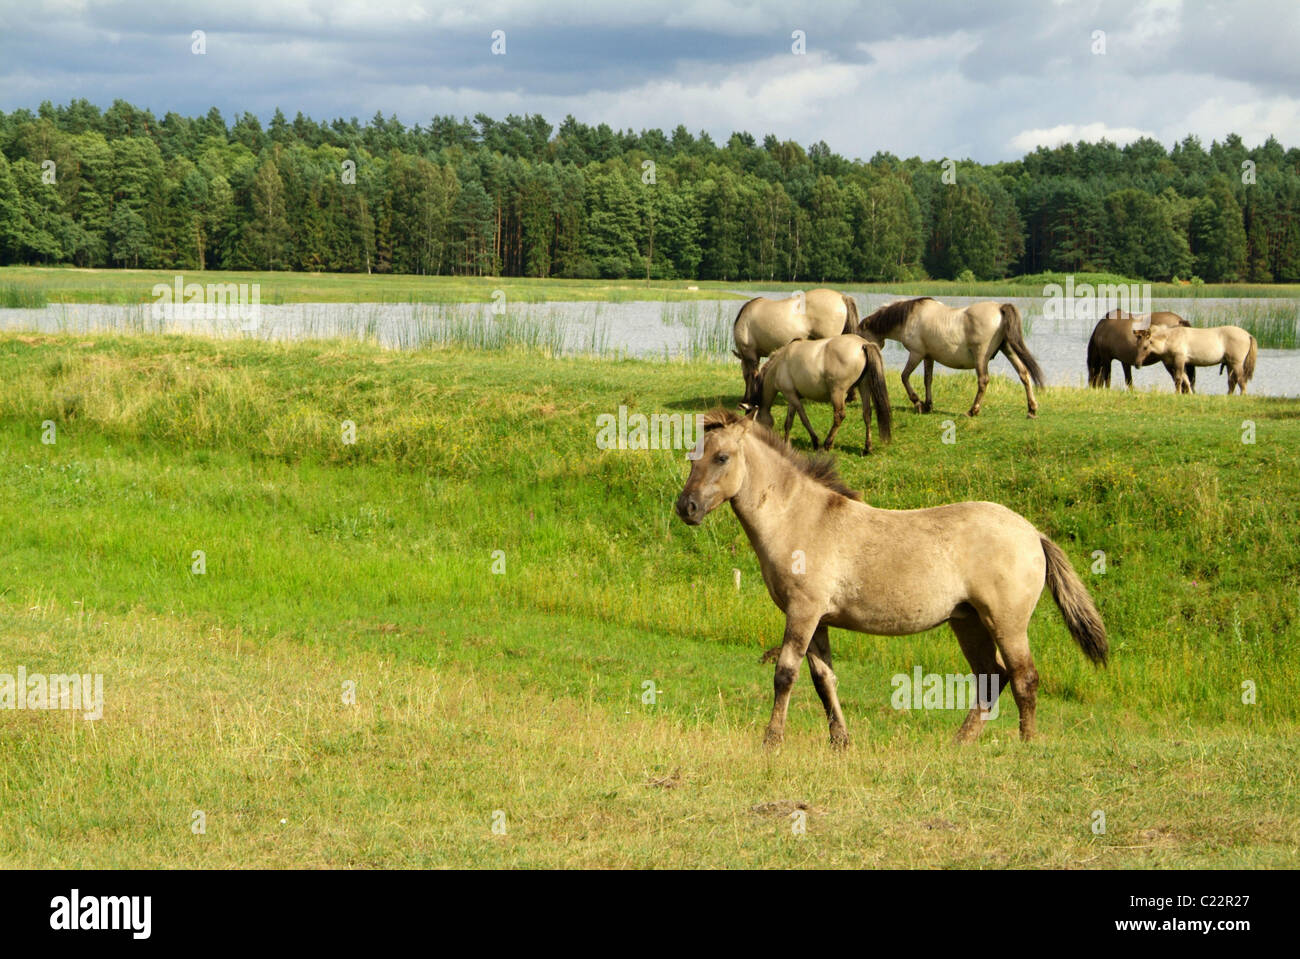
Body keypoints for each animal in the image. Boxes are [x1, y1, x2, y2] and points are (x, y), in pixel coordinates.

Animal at [675, 409, 1108, 747]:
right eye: (692, 456)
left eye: (722, 457)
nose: (686, 507)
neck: (801, 518)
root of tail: (1033, 533)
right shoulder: (817, 619)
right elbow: (823, 679)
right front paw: (840, 740)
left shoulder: (802, 613)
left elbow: (785, 675)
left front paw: (772, 739)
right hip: (968, 623)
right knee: (992, 676)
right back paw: (960, 741)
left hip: (1007, 622)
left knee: (1024, 677)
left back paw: (1026, 744)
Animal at [740, 334, 892, 455]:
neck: (778, 365)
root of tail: (863, 344)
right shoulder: (791, 396)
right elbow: (788, 422)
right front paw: (786, 443)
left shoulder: (791, 395)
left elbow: (803, 418)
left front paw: (815, 441)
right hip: (864, 387)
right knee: (867, 414)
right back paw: (867, 448)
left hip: (838, 392)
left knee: (839, 416)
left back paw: (827, 444)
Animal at [857, 297, 1044, 417]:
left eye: (861, 338)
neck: (910, 317)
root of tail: (1000, 307)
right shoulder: (928, 357)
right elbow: (927, 380)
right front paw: (928, 405)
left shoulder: (916, 354)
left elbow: (904, 377)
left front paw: (917, 402)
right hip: (1008, 349)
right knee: (1023, 374)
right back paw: (1032, 409)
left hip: (981, 356)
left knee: (983, 381)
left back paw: (972, 411)